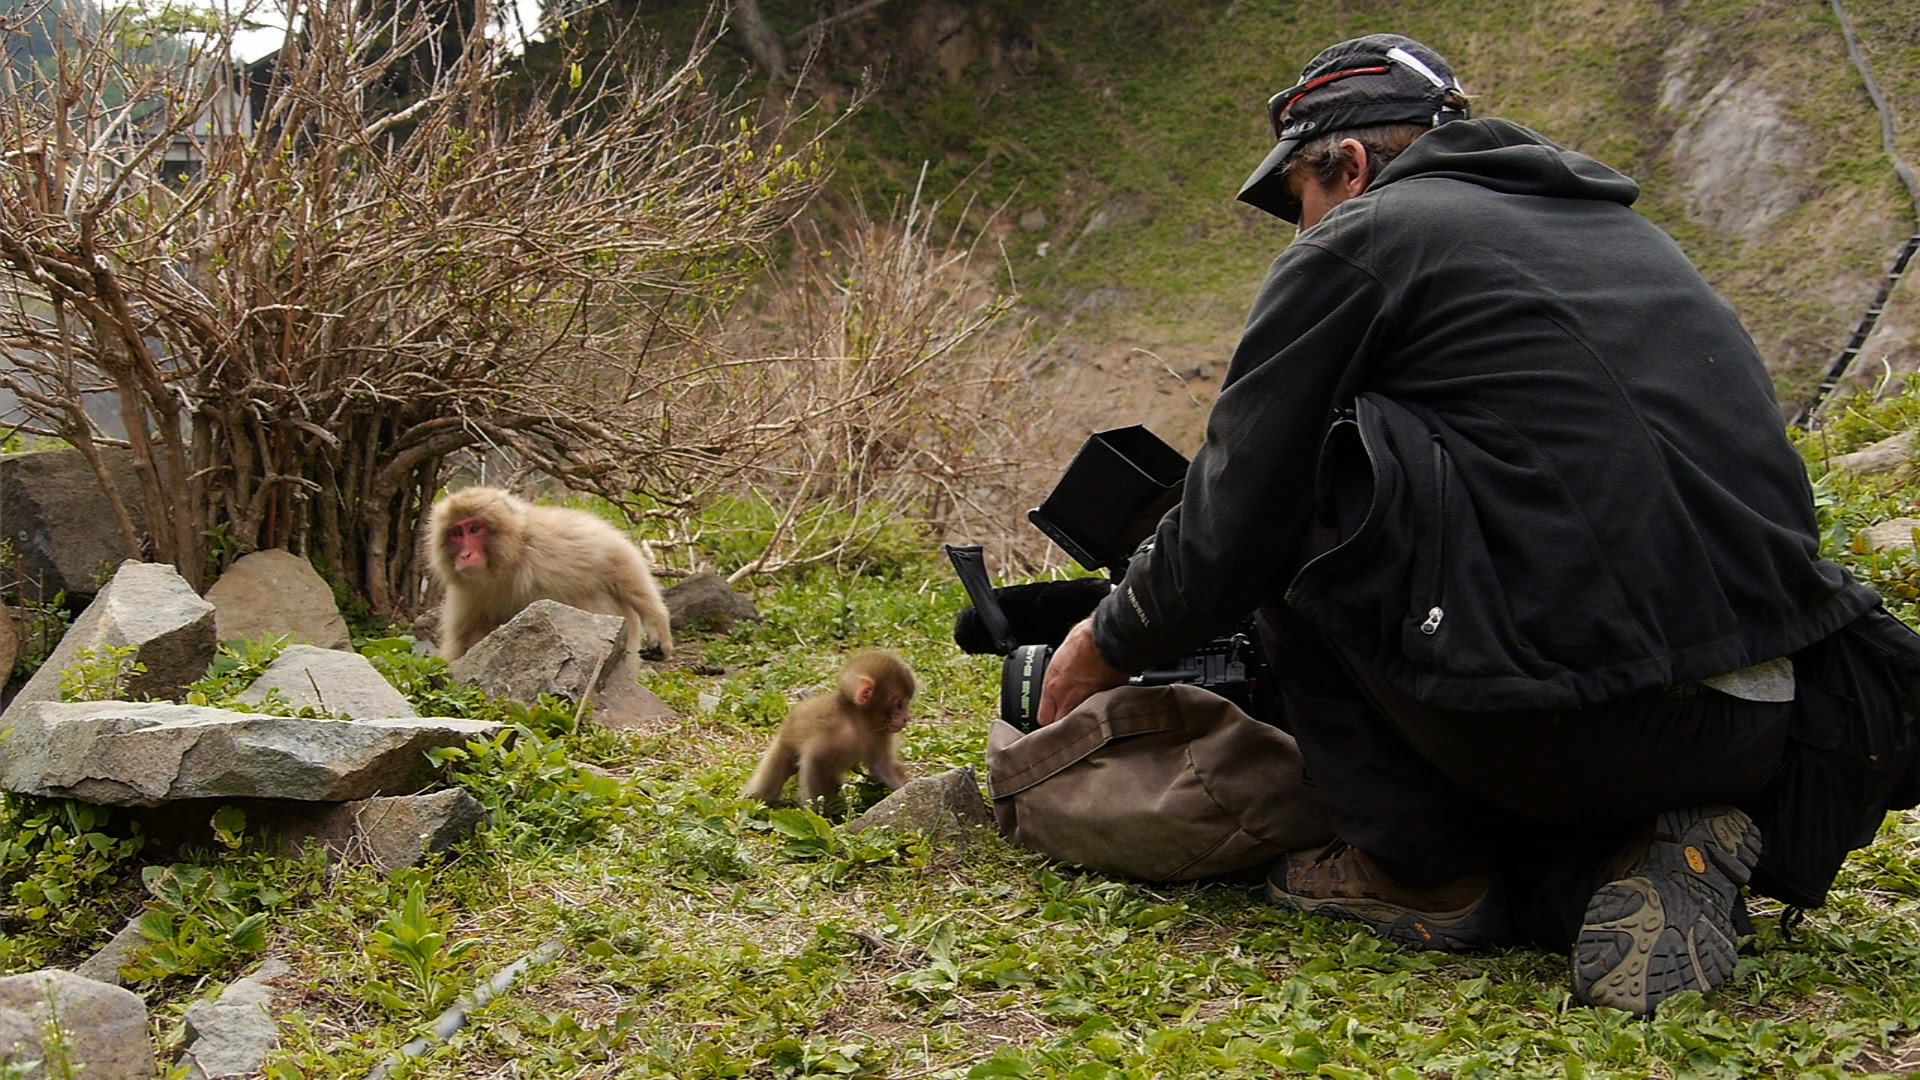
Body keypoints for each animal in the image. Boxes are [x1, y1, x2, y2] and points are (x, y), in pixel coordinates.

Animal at [424, 486, 674, 663]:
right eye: (457, 532)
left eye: (475, 529)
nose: (465, 555)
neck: (511, 561)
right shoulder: (470, 592)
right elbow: (463, 638)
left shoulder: (551, 539)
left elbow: (617, 558)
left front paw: (658, 625)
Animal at [743, 650, 915, 808]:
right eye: (899, 705)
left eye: (906, 703)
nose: (905, 718)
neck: (858, 721)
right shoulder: (829, 729)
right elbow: (813, 763)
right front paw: (816, 813)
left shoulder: (880, 734)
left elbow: (883, 766)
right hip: (786, 739)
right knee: (774, 776)